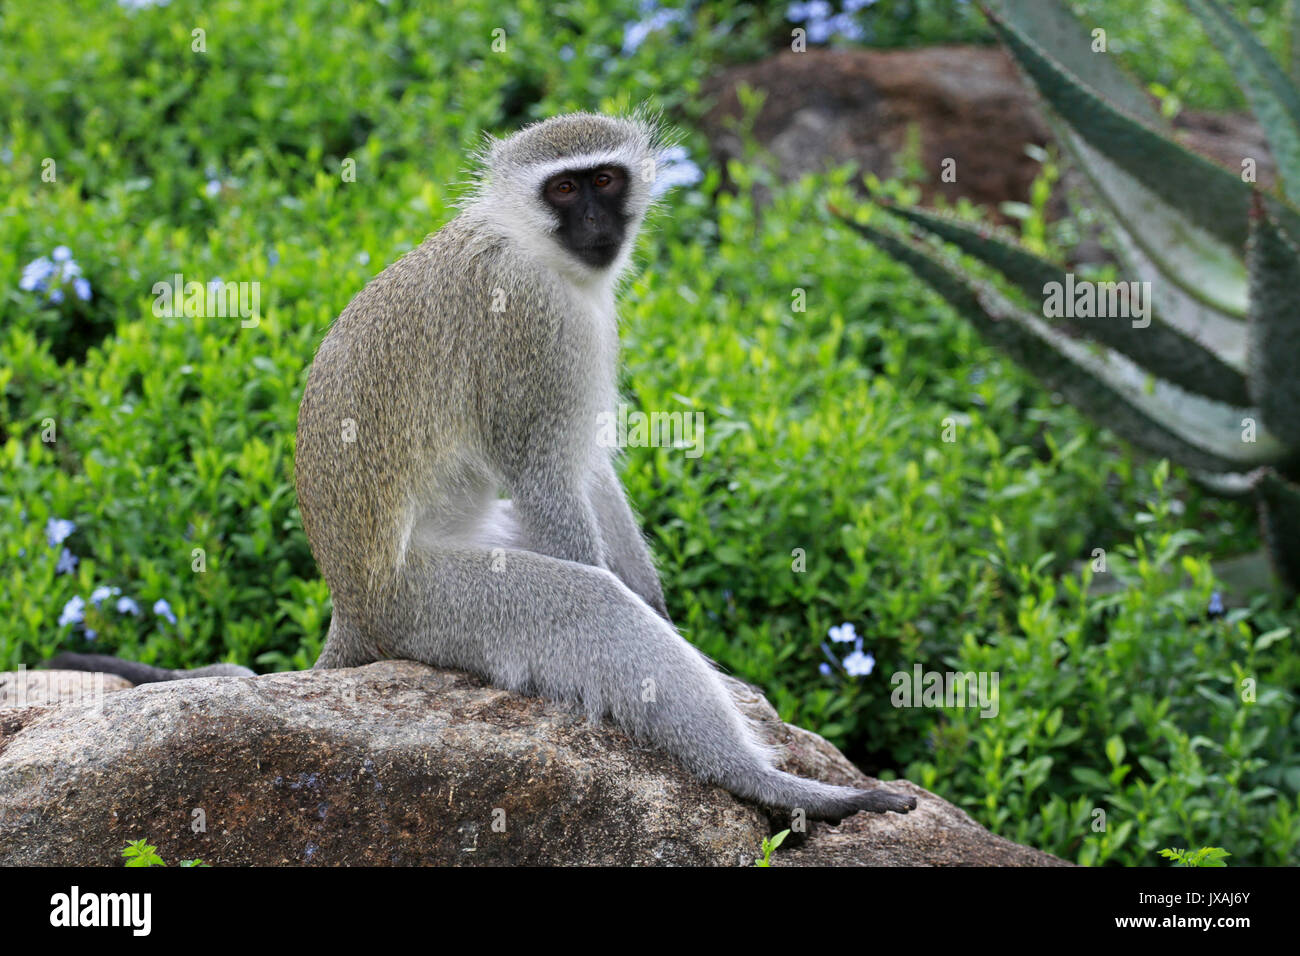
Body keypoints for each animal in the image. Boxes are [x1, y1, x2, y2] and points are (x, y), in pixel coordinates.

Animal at [49, 111, 916, 824]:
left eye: (605, 179)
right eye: (563, 188)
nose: (595, 220)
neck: (537, 252)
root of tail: (352, 608)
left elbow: (587, 468)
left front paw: (662, 602)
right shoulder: (529, 330)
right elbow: (546, 474)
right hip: (434, 606)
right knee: (589, 608)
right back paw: (772, 784)